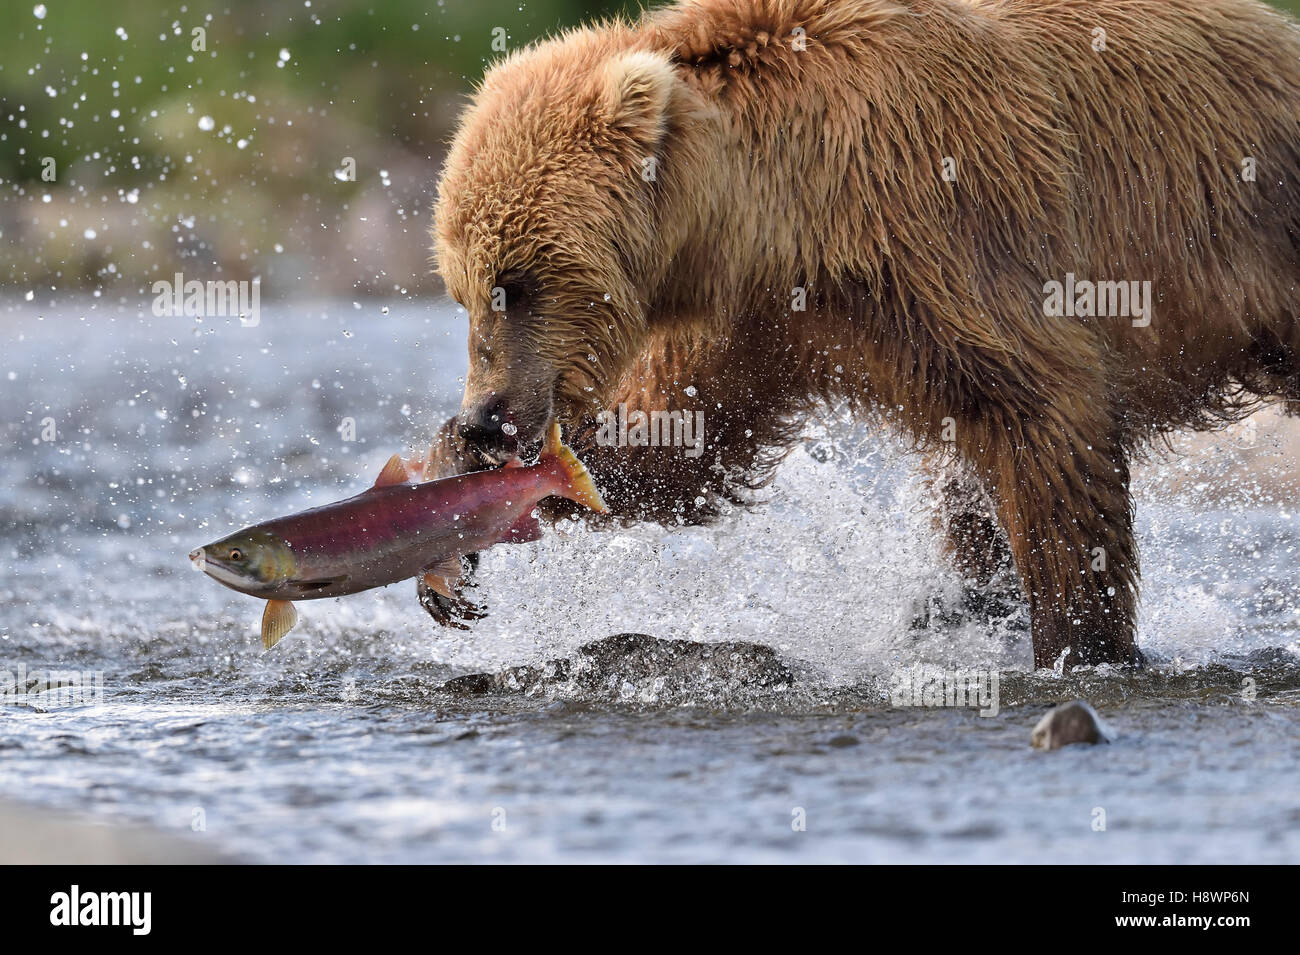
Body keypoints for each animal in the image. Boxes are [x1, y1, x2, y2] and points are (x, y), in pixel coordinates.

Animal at [426, 0, 1300, 669]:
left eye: (517, 281)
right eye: (464, 288)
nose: (489, 416)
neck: (783, 216)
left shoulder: (942, 240)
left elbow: (1049, 422)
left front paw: (1083, 643)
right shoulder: (762, 321)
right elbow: (679, 445)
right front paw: (456, 525)